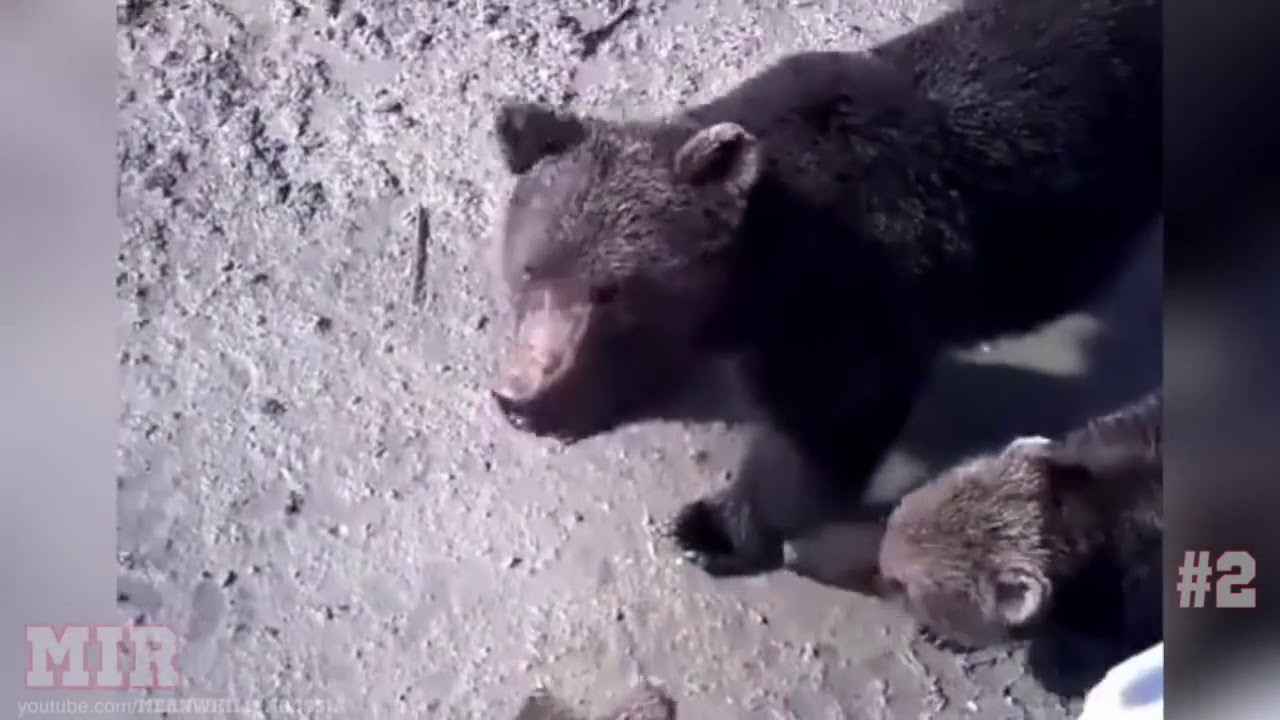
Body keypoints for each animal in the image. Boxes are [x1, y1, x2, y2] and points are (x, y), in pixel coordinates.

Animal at [485, 0, 1162, 578]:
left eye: (613, 292)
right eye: (529, 271)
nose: (519, 399)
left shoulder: (848, 296)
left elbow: (826, 421)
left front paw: (714, 528)